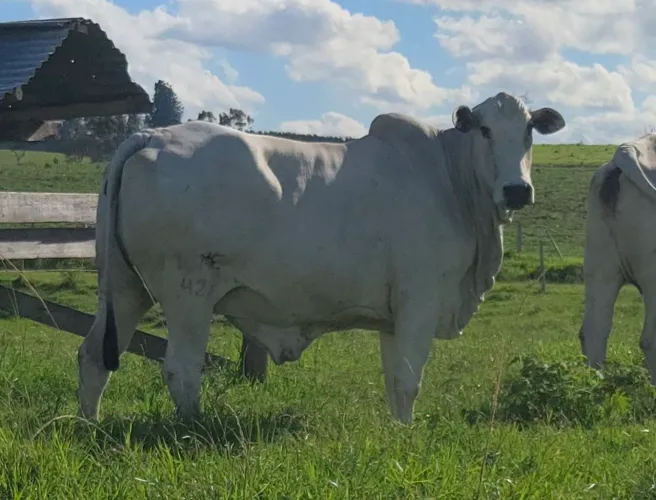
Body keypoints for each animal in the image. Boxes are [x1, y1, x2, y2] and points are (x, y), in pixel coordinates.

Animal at [77, 91, 566, 425]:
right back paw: (193, 428)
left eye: (528, 131)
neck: (451, 178)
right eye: (485, 130)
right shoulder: (421, 300)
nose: (517, 190)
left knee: (94, 357)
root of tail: (150, 136)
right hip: (187, 295)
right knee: (181, 370)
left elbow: (395, 383)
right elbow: (409, 381)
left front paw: (398, 432)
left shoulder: (394, 317)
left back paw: (90, 424)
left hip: (123, 288)